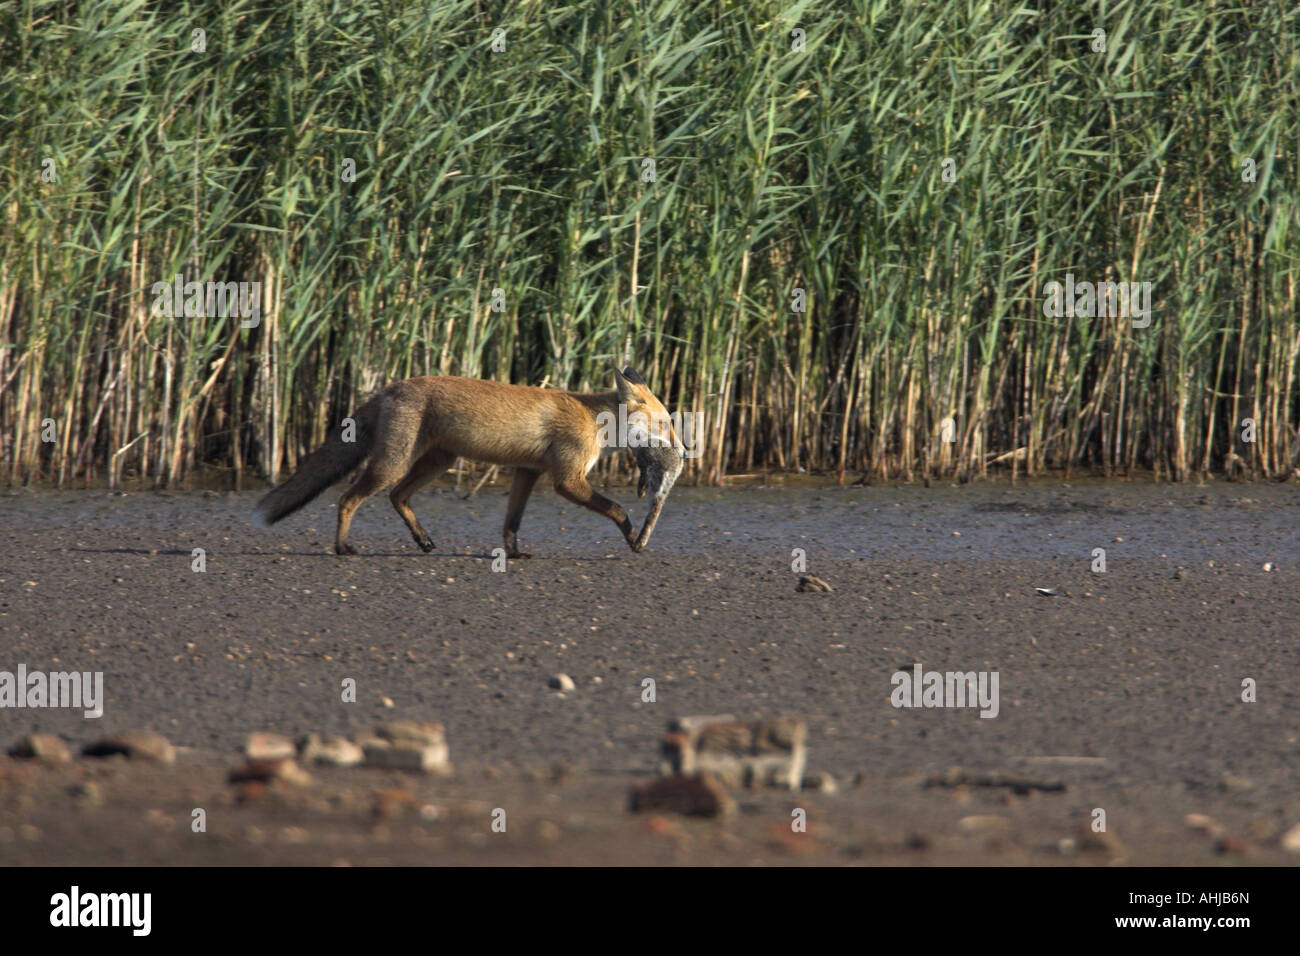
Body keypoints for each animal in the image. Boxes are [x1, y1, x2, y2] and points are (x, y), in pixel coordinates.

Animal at [255, 367, 681, 558]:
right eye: (665, 423)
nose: (683, 450)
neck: (593, 418)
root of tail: (392, 386)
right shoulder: (567, 479)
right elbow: (616, 508)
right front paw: (634, 537)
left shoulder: (528, 472)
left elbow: (512, 522)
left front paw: (513, 553)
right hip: (393, 463)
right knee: (348, 499)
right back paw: (342, 547)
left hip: (437, 462)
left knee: (398, 497)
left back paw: (423, 539)